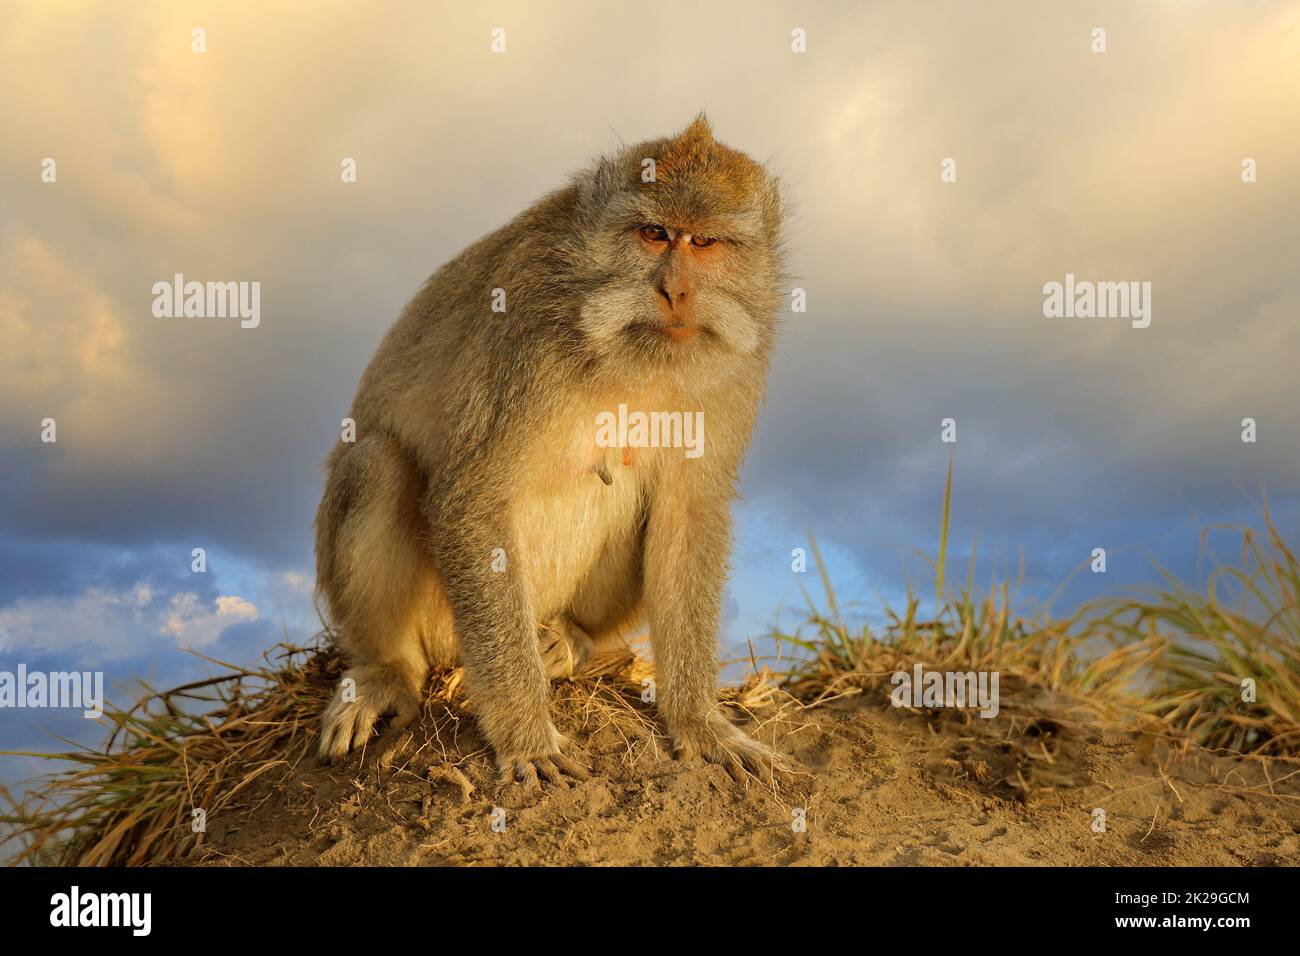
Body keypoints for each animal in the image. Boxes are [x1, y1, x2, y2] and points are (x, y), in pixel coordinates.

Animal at [314, 114, 786, 786]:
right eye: (653, 234)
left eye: (705, 243)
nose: (673, 291)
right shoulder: (525, 333)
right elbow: (471, 499)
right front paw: (526, 736)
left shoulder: (733, 372)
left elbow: (687, 514)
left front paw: (699, 721)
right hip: (443, 629)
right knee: (377, 464)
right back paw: (387, 671)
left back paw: (572, 641)